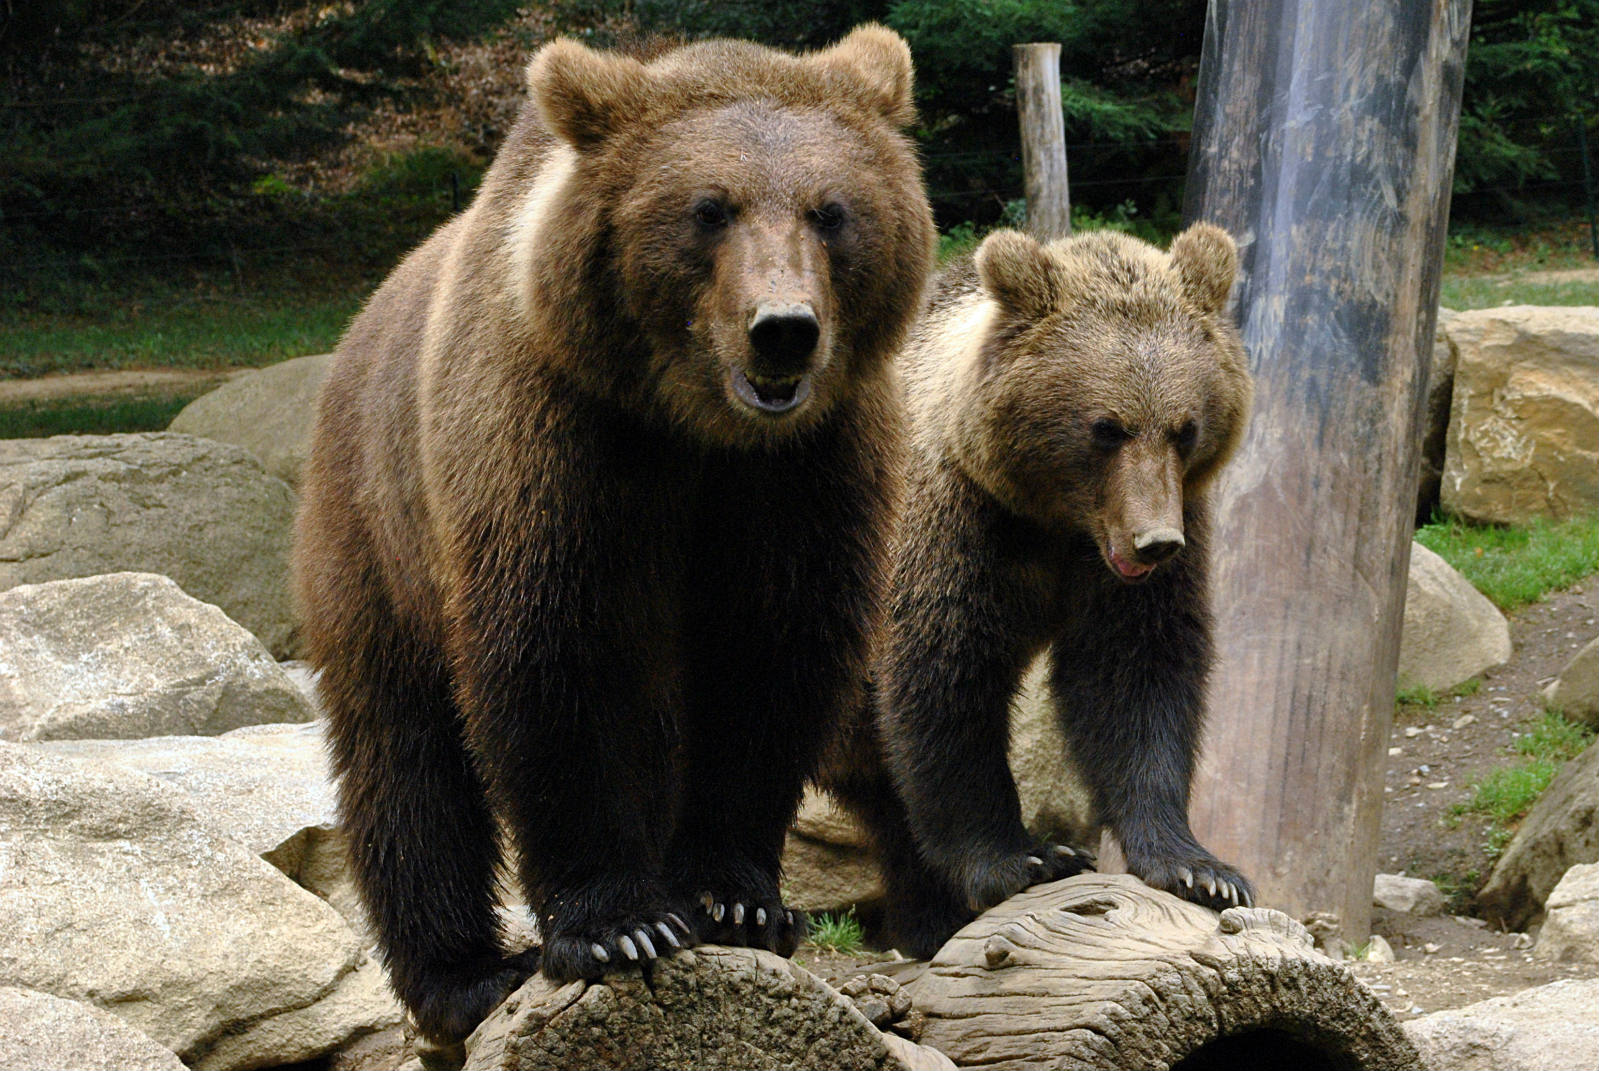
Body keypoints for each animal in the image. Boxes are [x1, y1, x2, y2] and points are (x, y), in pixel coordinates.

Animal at [291, 26, 934, 1046]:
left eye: (831, 211)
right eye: (709, 209)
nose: (782, 331)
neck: (696, 430)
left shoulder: (805, 472)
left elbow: (770, 660)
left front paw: (736, 899)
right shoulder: (558, 439)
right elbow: (559, 657)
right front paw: (616, 924)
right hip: (374, 529)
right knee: (405, 756)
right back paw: (460, 971)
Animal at [820, 223, 1255, 959]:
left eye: (1184, 427)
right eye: (1105, 427)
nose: (1153, 542)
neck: (1052, 522)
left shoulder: (1129, 568)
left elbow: (1135, 678)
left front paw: (1198, 867)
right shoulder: (954, 527)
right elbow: (946, 679)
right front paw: (1022, 858)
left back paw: (928, 918)